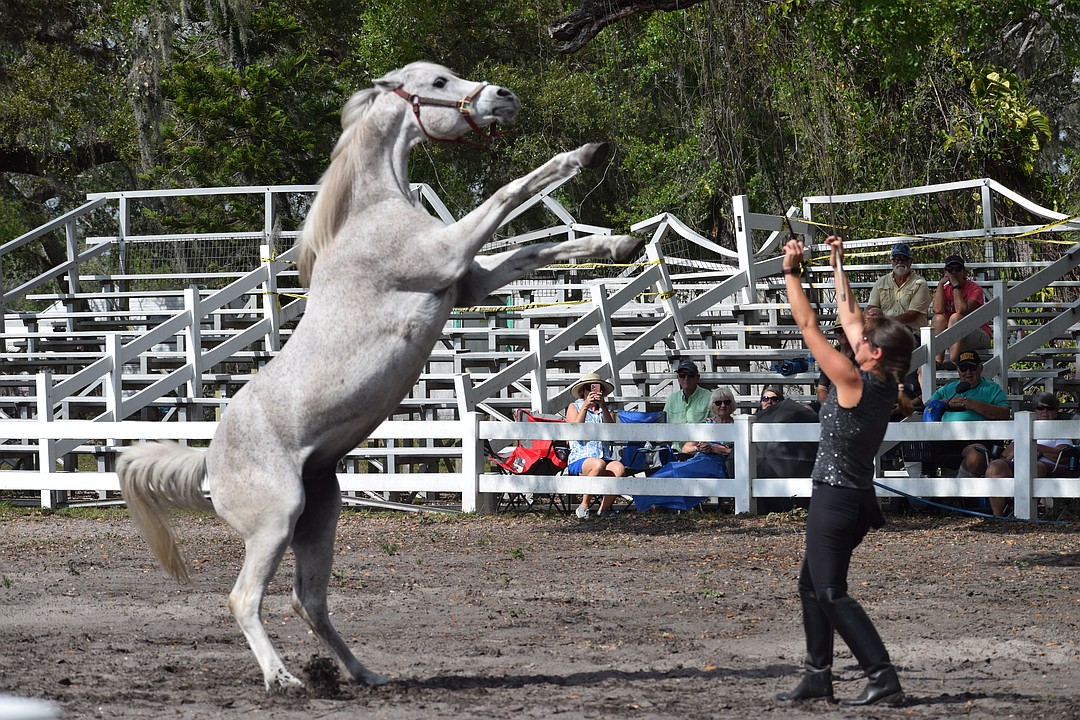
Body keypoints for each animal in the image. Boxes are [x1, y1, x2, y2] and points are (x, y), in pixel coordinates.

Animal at [117, 61, 642, 693]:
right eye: (438, 83)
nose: (504, 98)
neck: (369, 215)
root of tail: (208, 461)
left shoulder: (468, 280)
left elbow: (535, 252)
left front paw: (622, 242)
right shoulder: (447, 254)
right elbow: (510, 192)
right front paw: (584, 156)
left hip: (319, 519)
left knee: (307, 602)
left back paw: (363, 673)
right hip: (274, 523)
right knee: (245, 599)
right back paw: (283, 680)